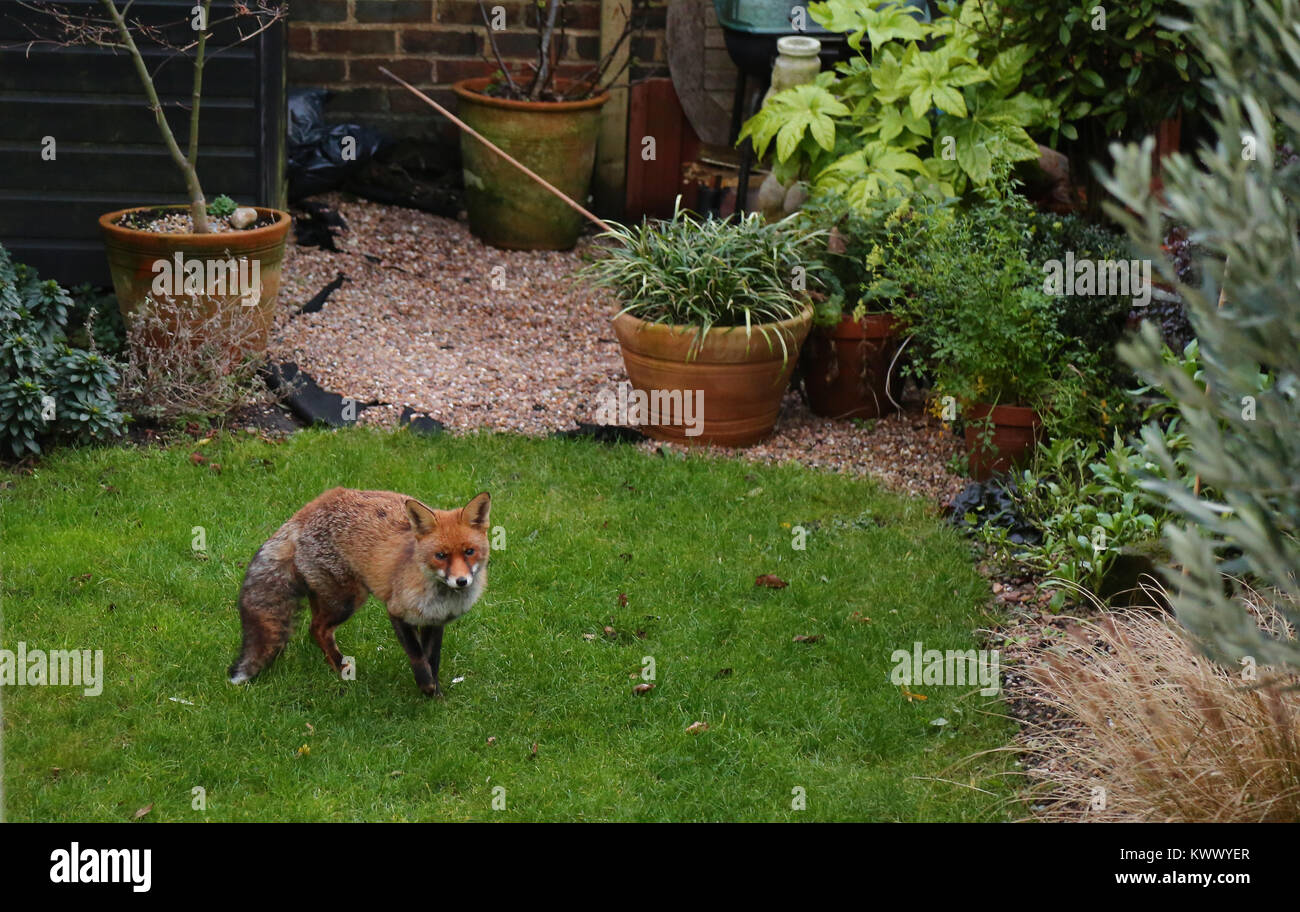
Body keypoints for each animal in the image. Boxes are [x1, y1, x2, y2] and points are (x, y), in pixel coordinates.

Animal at [228, 487, 491, 697]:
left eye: (469, 552)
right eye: (441, 556)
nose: (461, 581)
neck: (439, 596)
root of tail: (313, 505)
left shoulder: (434, 621)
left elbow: (431, 659)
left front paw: (435, 695)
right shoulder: (396, 612)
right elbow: (417, 656)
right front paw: (426, 687)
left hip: (328, 594)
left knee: (315, 627)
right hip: (348, 599)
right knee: (317, 629)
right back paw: (340, 667)